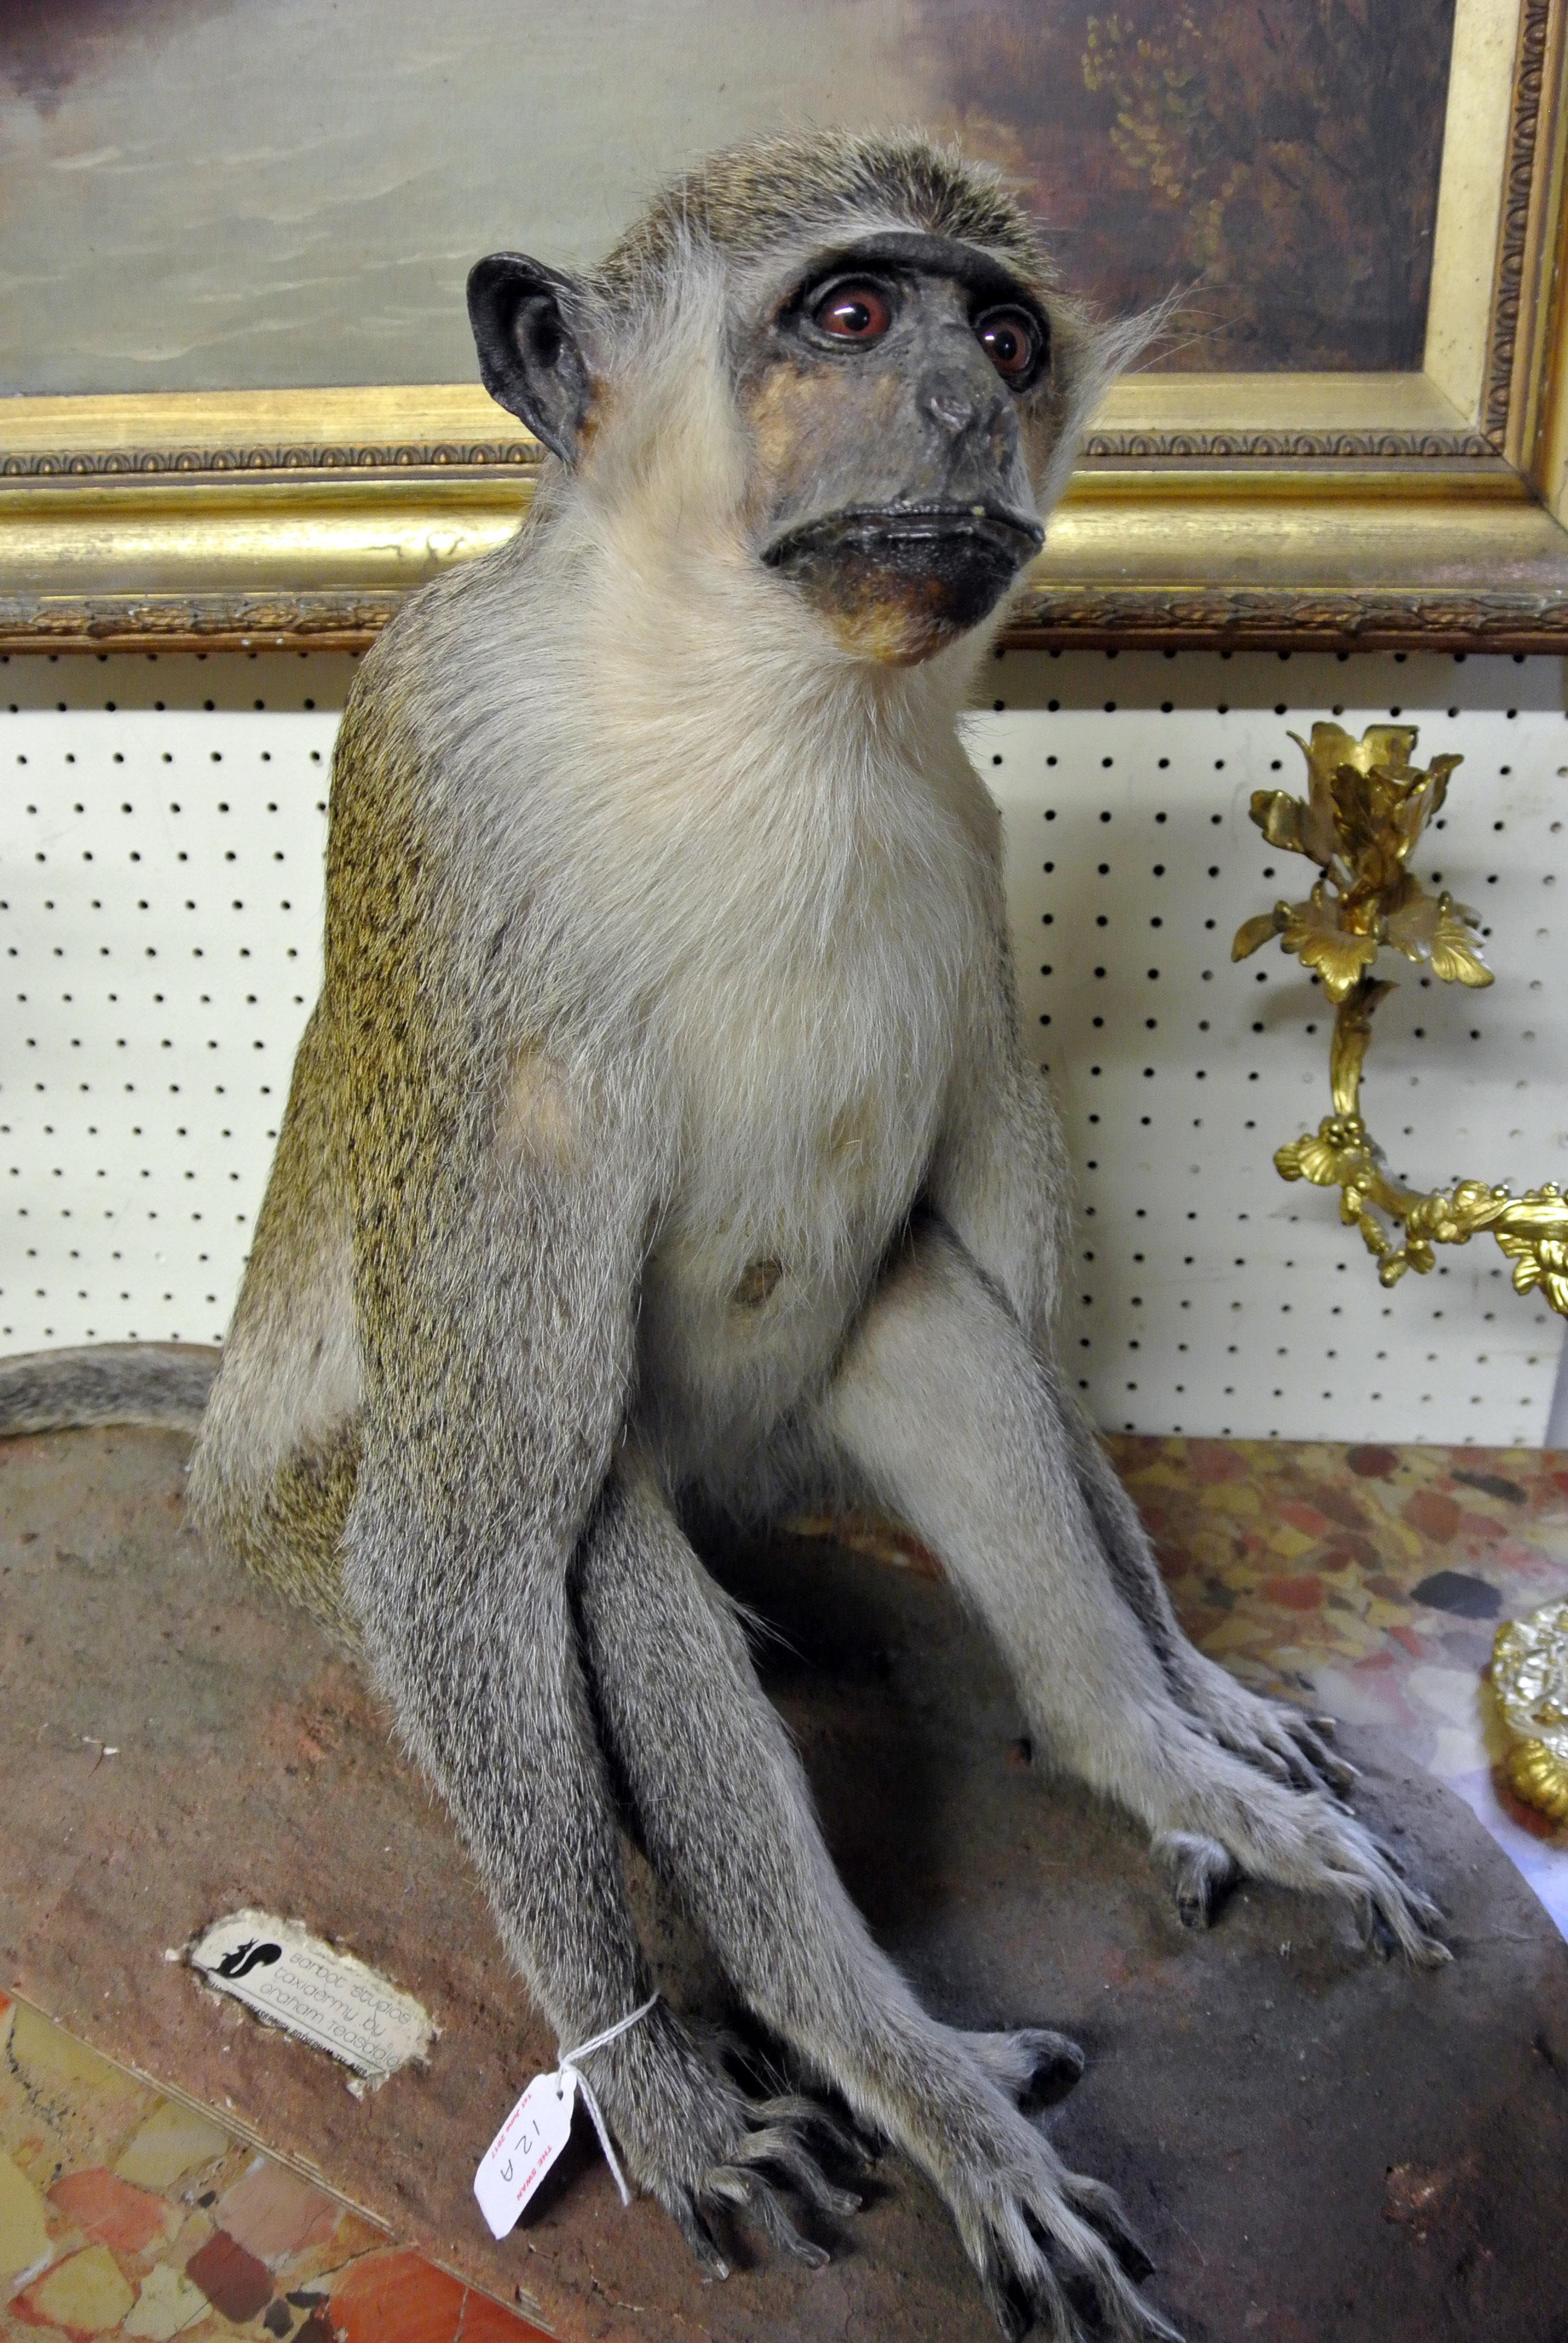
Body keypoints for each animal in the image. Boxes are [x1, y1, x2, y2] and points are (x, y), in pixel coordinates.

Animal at [0, 129, 1446, 2343]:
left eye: (1001, 334)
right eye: (849, 314)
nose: (961, 412)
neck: (764, 700)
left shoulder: (968, 846)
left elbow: (1020, 1330)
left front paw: (1205, 1701)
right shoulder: (437, 786)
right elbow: (467, 1540)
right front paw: (655, 2089)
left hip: (778, 1439)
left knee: (929, 1324)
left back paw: (1144, 1761)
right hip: (310, 1528)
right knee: (572, 1530)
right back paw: (910, 2076)